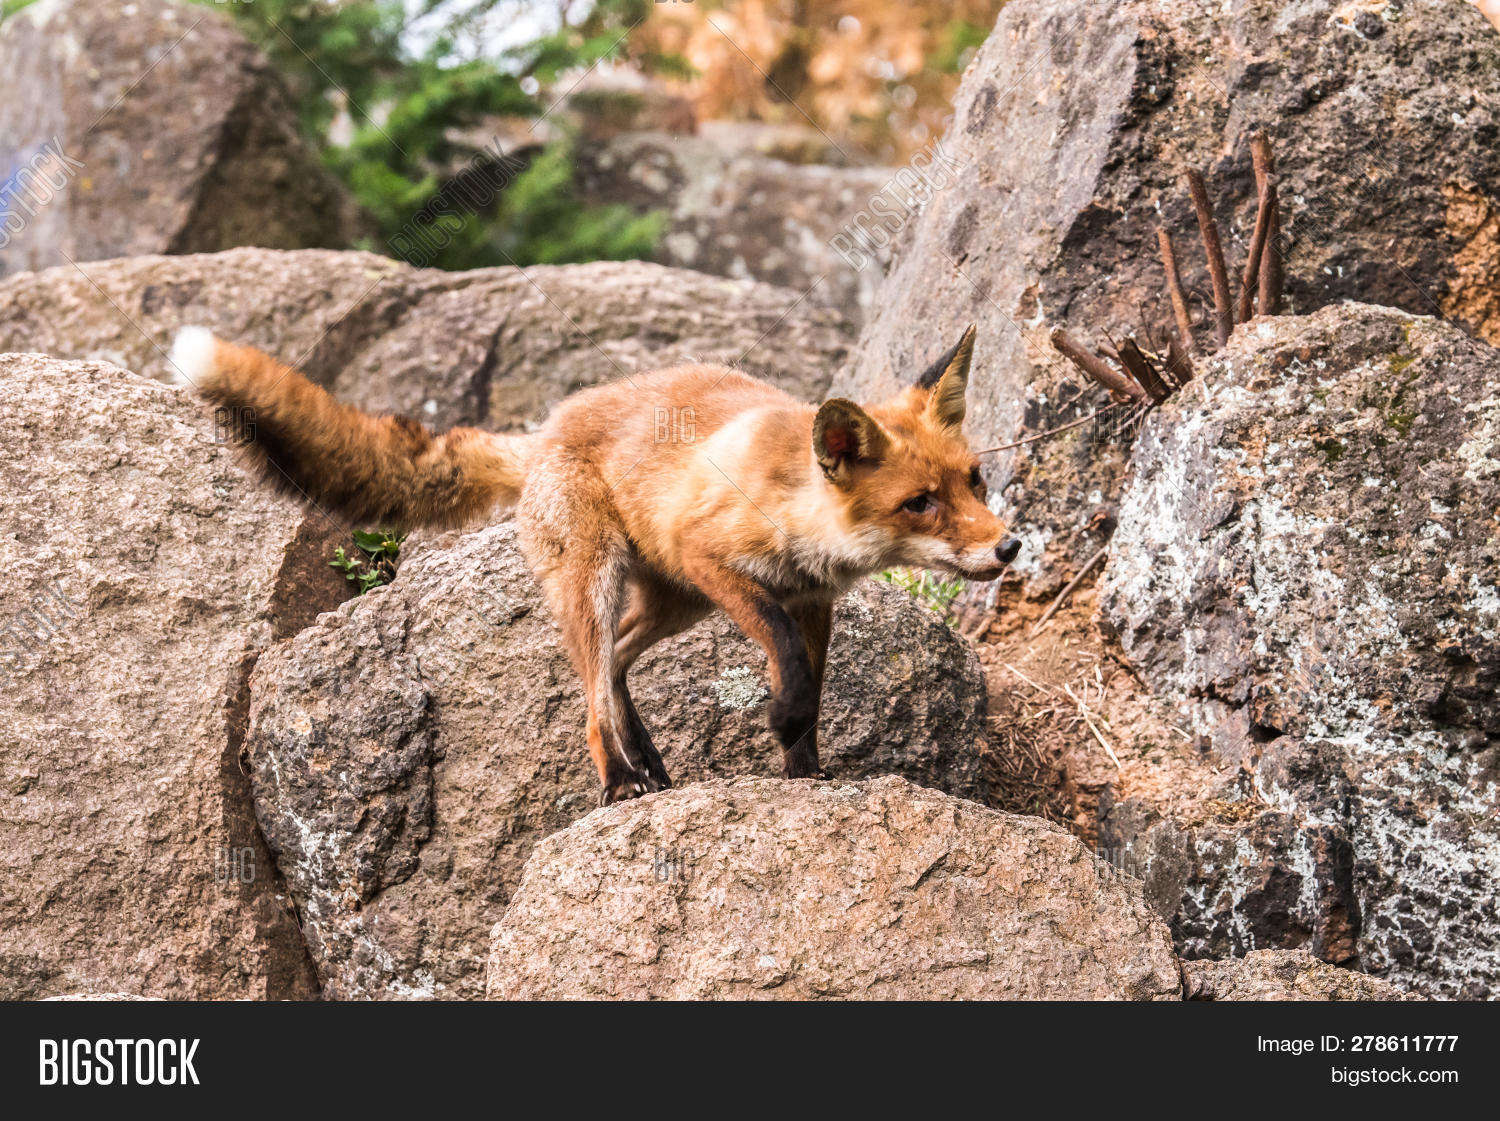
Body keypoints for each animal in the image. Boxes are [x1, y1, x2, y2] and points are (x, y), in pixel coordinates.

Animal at [168, 322, 1019, 804]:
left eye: (975, 480)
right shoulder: (714, 558)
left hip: (672, 603)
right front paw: (783, 729)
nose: (1008, 546)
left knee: (614, 670)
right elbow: (786, 661)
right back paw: (619, 779)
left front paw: (804, 770)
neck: (800, 507)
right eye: (920, 503)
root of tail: (543, 429)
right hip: (606, 583)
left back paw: (649, 764)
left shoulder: (812, 599)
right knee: (590, 697)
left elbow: (809, 682)